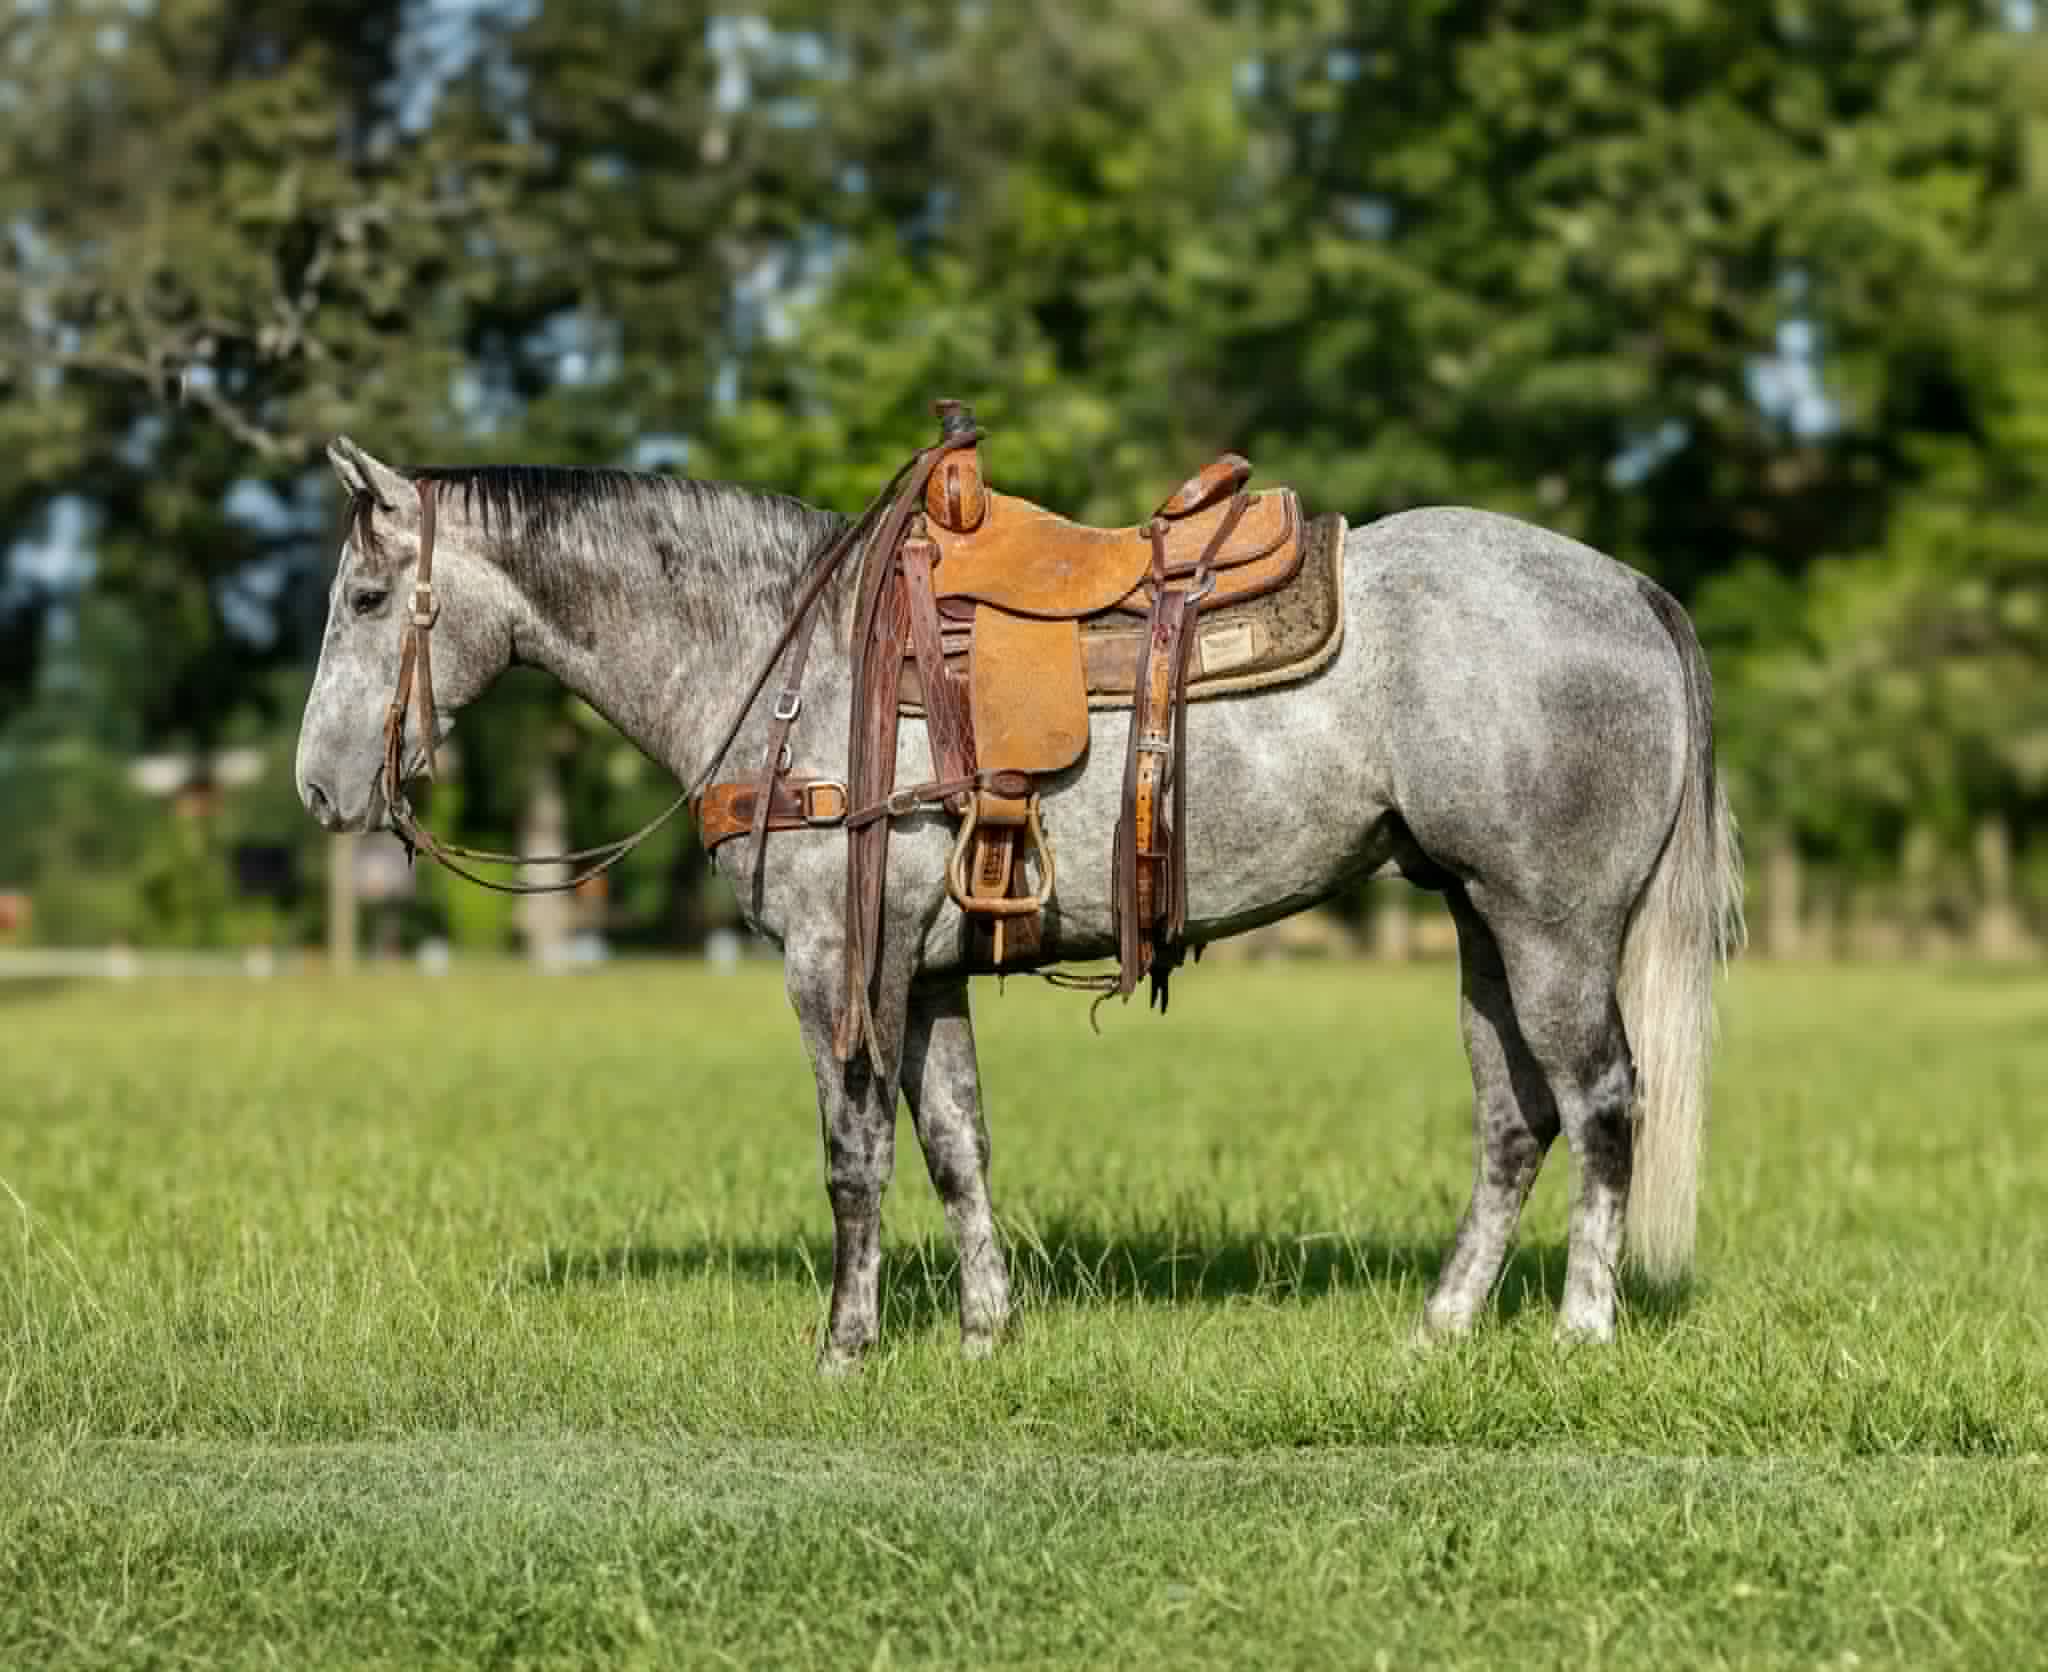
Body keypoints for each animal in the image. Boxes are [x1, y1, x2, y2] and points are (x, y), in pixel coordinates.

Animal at [295, 435, 1742, 1369]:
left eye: (366, 596)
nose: (318, 788)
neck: (795, 664)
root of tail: (1632, 590)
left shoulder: (839, 962)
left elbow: (855, 1154)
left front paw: (845, 1346)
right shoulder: (928, 973)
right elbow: (955, 1145)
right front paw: (985, 1333)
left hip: (1551, 928)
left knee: (1602, 1103)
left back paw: (1581, 1328)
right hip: (1479, 923)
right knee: (1514, 1121)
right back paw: (1437, 1332)